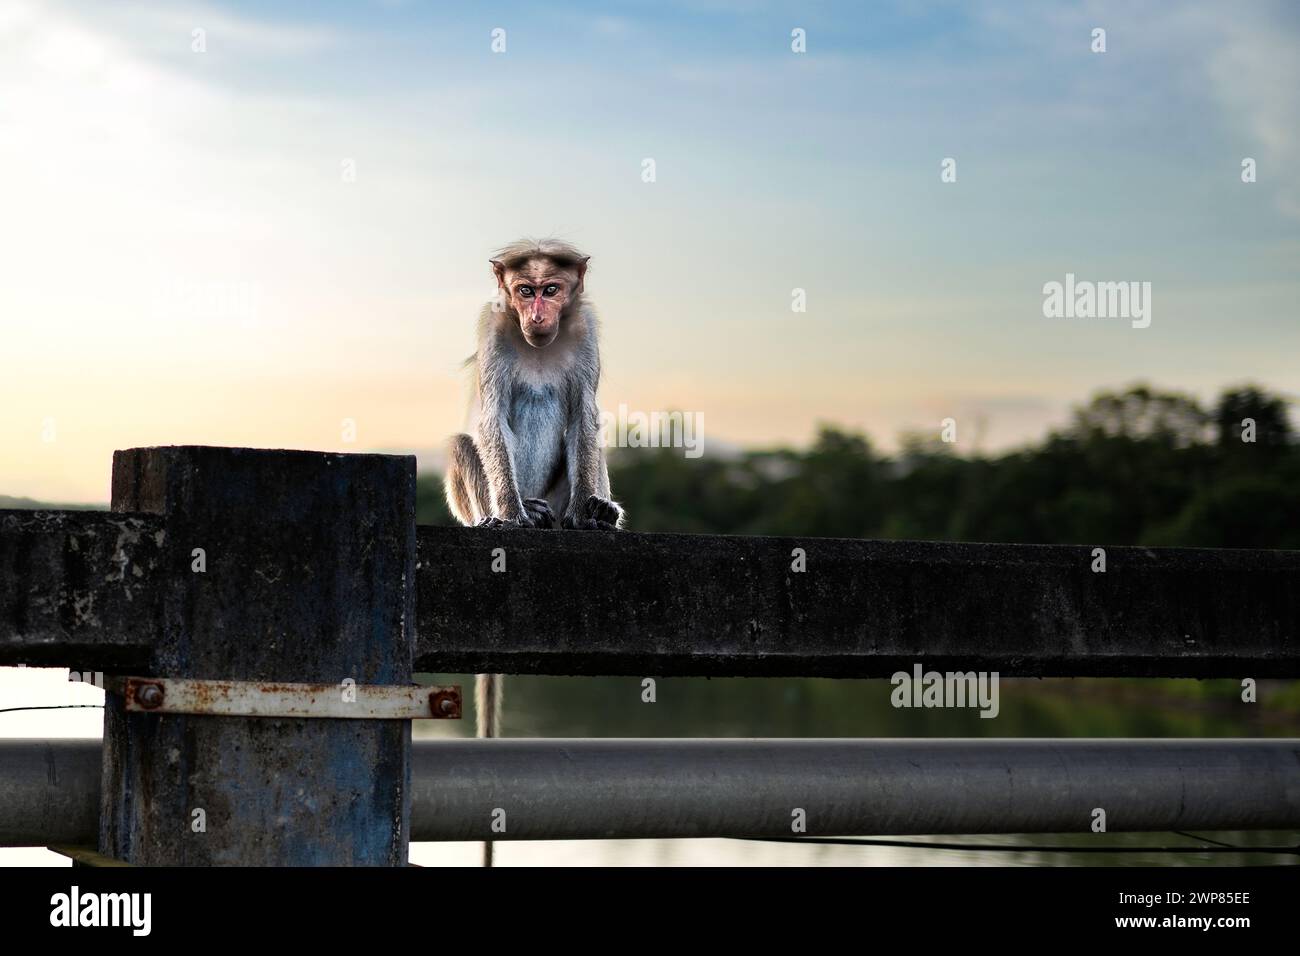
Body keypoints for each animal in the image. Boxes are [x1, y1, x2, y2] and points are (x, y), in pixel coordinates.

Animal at [444, 239, 624, 865]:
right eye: (524, 291)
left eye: (552, 290)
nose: (538, 315)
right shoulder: (492, 329)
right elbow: (492, 414)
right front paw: (512, 515)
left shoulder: (587, 334)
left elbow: (585, 418)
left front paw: (591, 516)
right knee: (465, 440)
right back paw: (519, 513)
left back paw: (586, 514)